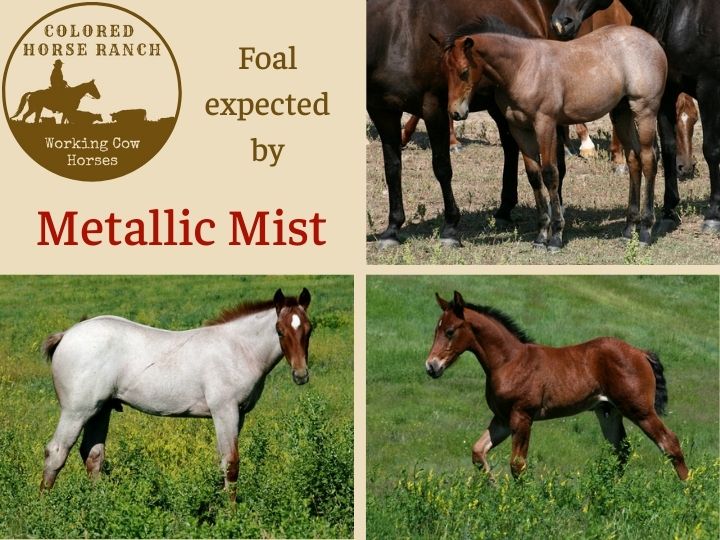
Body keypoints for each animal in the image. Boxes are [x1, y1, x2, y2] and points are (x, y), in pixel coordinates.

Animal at [40, 288, 312, 501]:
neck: (237, 349)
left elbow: (223, 463)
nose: (301, 375)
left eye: (309, 330)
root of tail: (66, 335)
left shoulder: (238, 415)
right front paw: (230, 515)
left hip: (100, 410)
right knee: (56, 452)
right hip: (77, 411)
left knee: (93, 455)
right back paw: (44, 510)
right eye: (279, 330)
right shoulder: (225, 411)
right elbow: (231, 463)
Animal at [367, 0, 567, 247]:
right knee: (510, 146)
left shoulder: (433, 108)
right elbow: (392, 168)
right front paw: (392, 229)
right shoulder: (382, 111)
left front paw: (450, 229)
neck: (393, 33)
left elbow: (442, 167)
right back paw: (504, 210)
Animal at [425, 291, 689, 480]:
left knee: (670, 443)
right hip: (608, 412)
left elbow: (517, 465)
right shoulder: (502, 419)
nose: (431, 366)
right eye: (436, 329)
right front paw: (492, 486)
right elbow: (478, 452)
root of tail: (640, 353)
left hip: (640, 410)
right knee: (621, 451)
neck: (509, 361)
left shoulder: (522, 417)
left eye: (450, 331)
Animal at [444, 21, 667, 249]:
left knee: (648, 160)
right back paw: (629, 229)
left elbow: (551, 173)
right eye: (446, 71)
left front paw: (556, 236)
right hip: (621, 113)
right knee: (634, 161)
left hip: (645, 110)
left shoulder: (546, 124)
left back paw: (646, 231)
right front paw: (541, 236)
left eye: (464, 71)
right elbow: (534, 176)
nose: (455, 113)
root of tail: (652, 41)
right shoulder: (520, 129)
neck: (522, 68)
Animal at [552, 0, 720, 234]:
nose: (561, 22)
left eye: (695, 121)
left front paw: (713, 215)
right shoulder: (665, 93)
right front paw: (668, 215)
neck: (681, 15)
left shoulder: (708, 88)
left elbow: (711, 149)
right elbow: (667, 150)